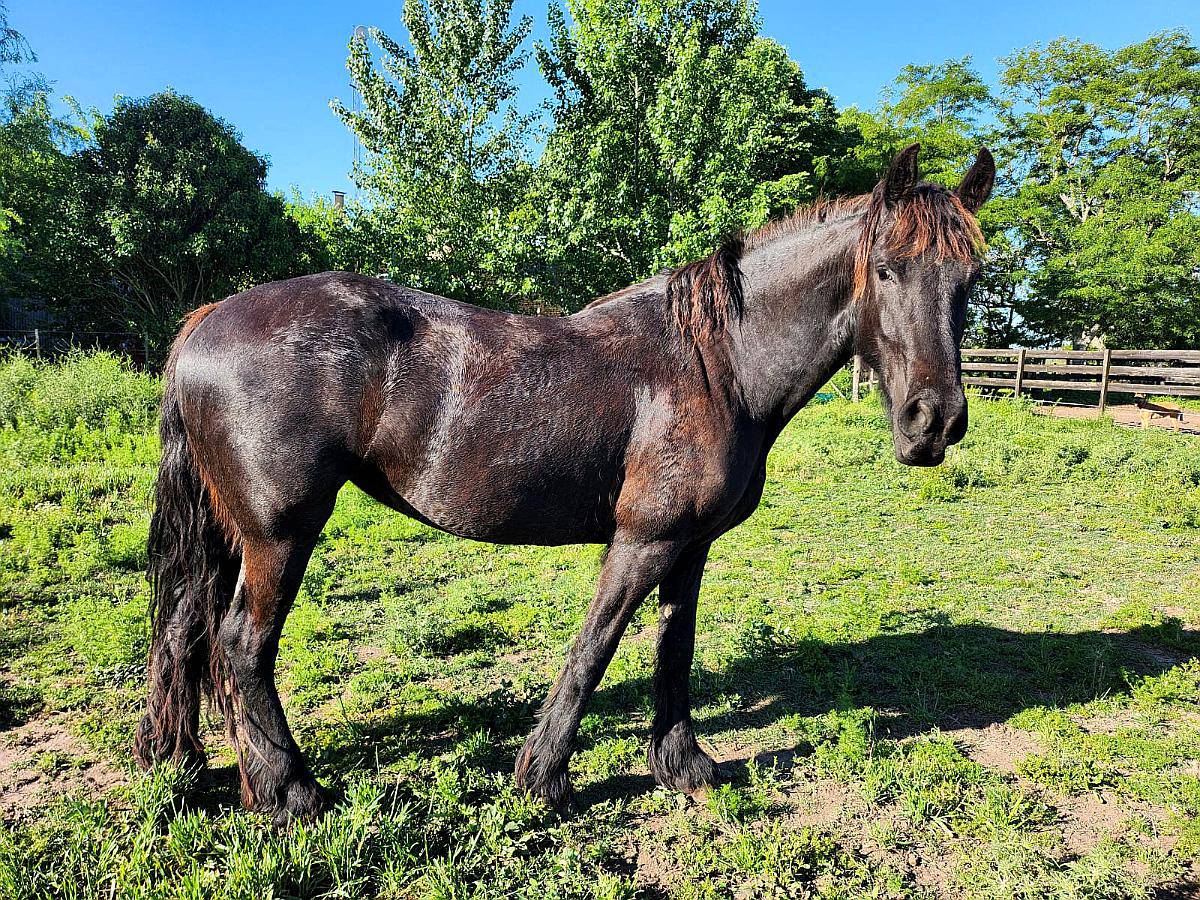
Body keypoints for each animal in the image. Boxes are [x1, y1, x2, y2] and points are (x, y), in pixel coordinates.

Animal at [133, 143, 995, 825]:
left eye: (970, 280)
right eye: (886, 269)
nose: (934, 421)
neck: (717, 365)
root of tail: (207, 319)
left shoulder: (689, 547)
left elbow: (673, 649)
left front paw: (685, 766)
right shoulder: (643, 540)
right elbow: (596, 647)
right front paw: (543, 780)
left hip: (226, 531)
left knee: (183, 631)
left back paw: (182, 765)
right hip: (279, 534)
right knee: (242, 645)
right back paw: (292, 793)